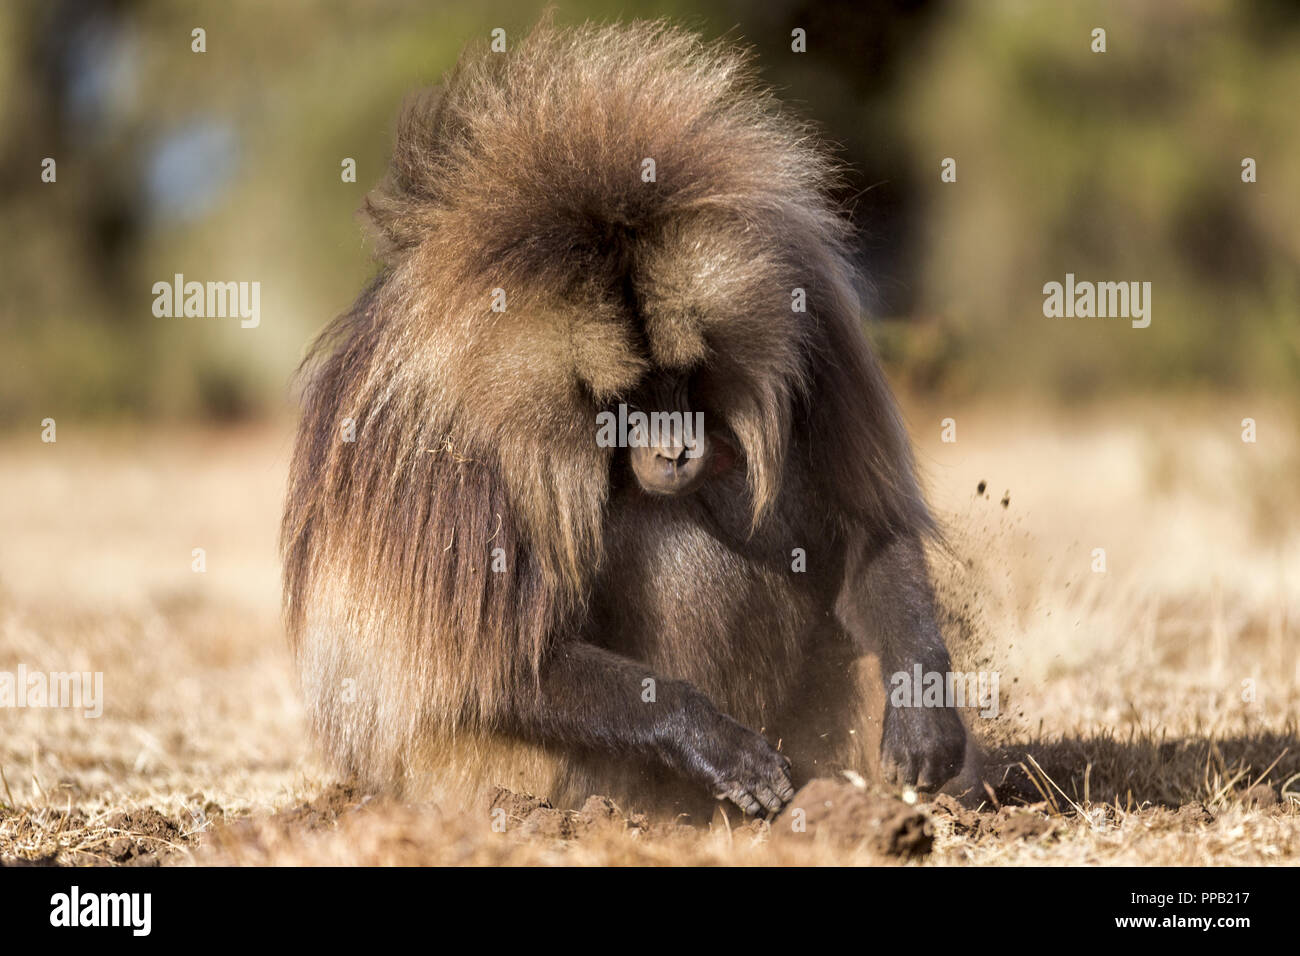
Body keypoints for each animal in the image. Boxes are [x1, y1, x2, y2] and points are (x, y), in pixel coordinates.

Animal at [282, 21, 970, 820]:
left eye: (681, 374)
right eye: (624, 398)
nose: (676, 453)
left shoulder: (814, 318)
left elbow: (865, 530)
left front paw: (922, 714)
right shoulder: (443, 447)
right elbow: (494, 669)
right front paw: (711, 740)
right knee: (671, 544)